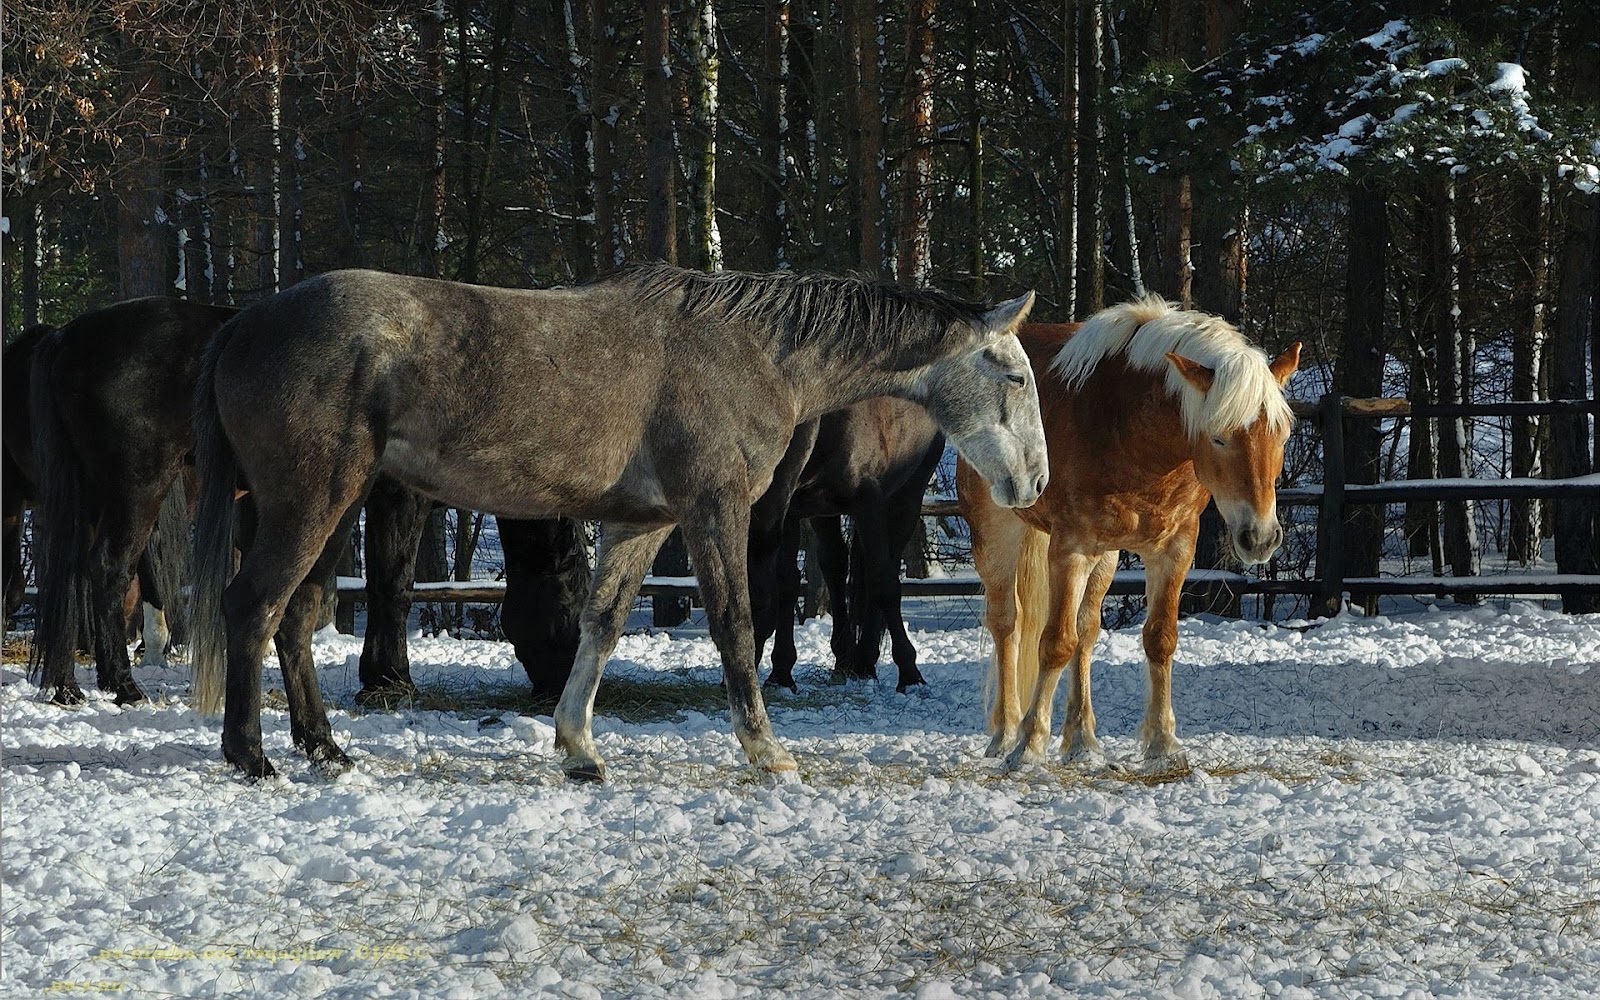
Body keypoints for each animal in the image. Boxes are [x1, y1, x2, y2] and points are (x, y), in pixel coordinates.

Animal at [752, 397, 944, 693]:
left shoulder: (869, 502)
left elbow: (884, 583)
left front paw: (910, 674)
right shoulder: (788, 512)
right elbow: (787, 583)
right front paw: (781, 674)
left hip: (908, 495)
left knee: (885, 569)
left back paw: (865, 660)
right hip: (823, 512)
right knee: (835, 566)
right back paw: (844, 658)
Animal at [958, 296, 1298, 772]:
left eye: (1283, 434)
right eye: (1218, 437)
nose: (1261, 538)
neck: (1129, 427)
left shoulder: (1174, 550)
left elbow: (1158, 639)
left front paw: (1163, 745)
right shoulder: (1070, 549)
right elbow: (1054, 643)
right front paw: (1028, 745)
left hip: (1106, 556)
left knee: (1086, 631)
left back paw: (1081, 740)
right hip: (997, 534)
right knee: (1008, 624)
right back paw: (1005, 733)